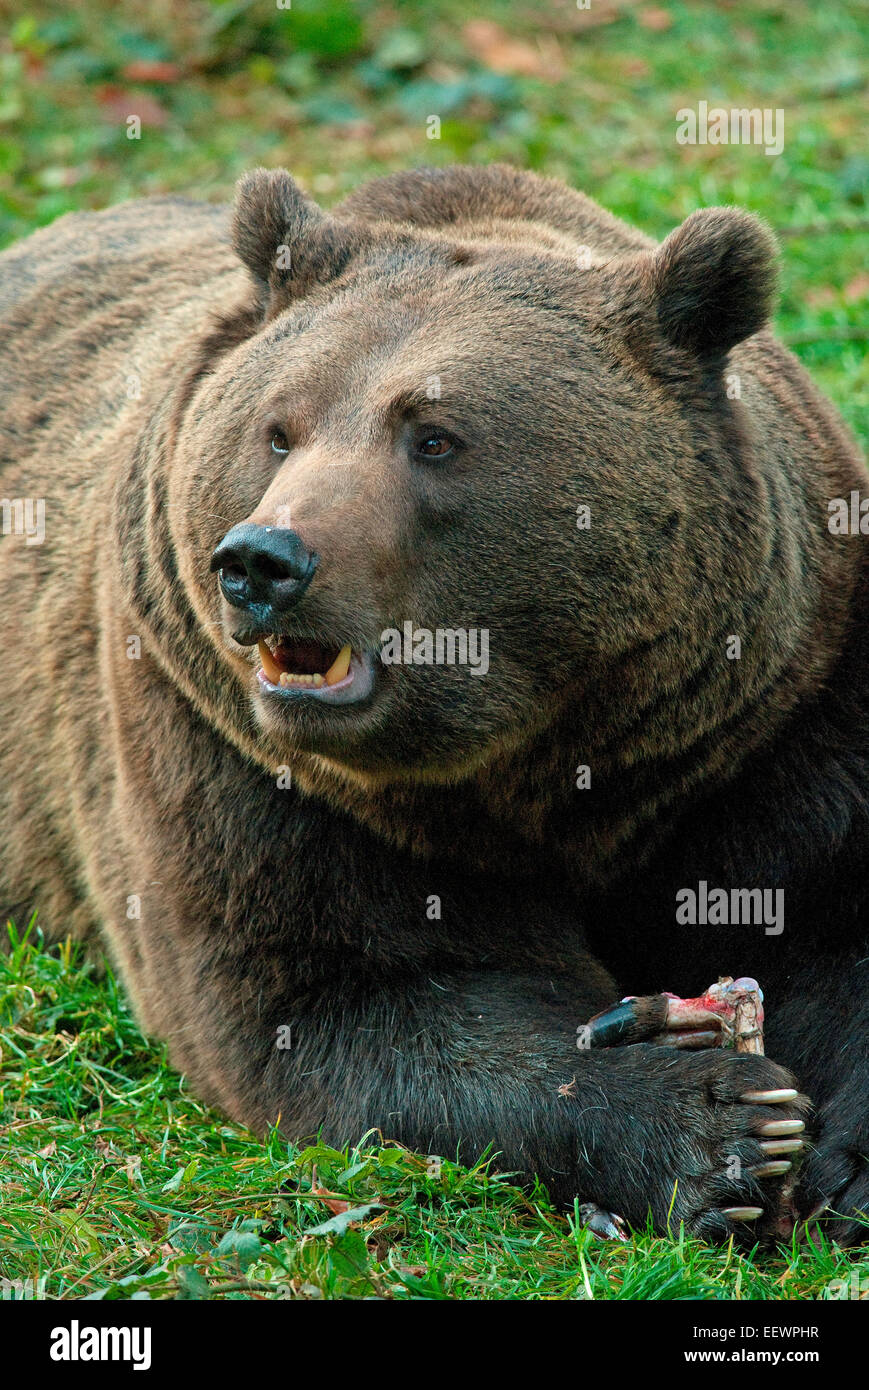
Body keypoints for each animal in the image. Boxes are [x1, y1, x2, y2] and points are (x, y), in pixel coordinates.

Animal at [0, 163, 866, 1245]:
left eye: (433, 436)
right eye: (277, 430)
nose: (263, 561)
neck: (536, 759)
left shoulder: (767, 713)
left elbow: (827, 917)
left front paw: (838, 1159)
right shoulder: (226, 744)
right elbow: (341, 999)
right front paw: (712, 1122)